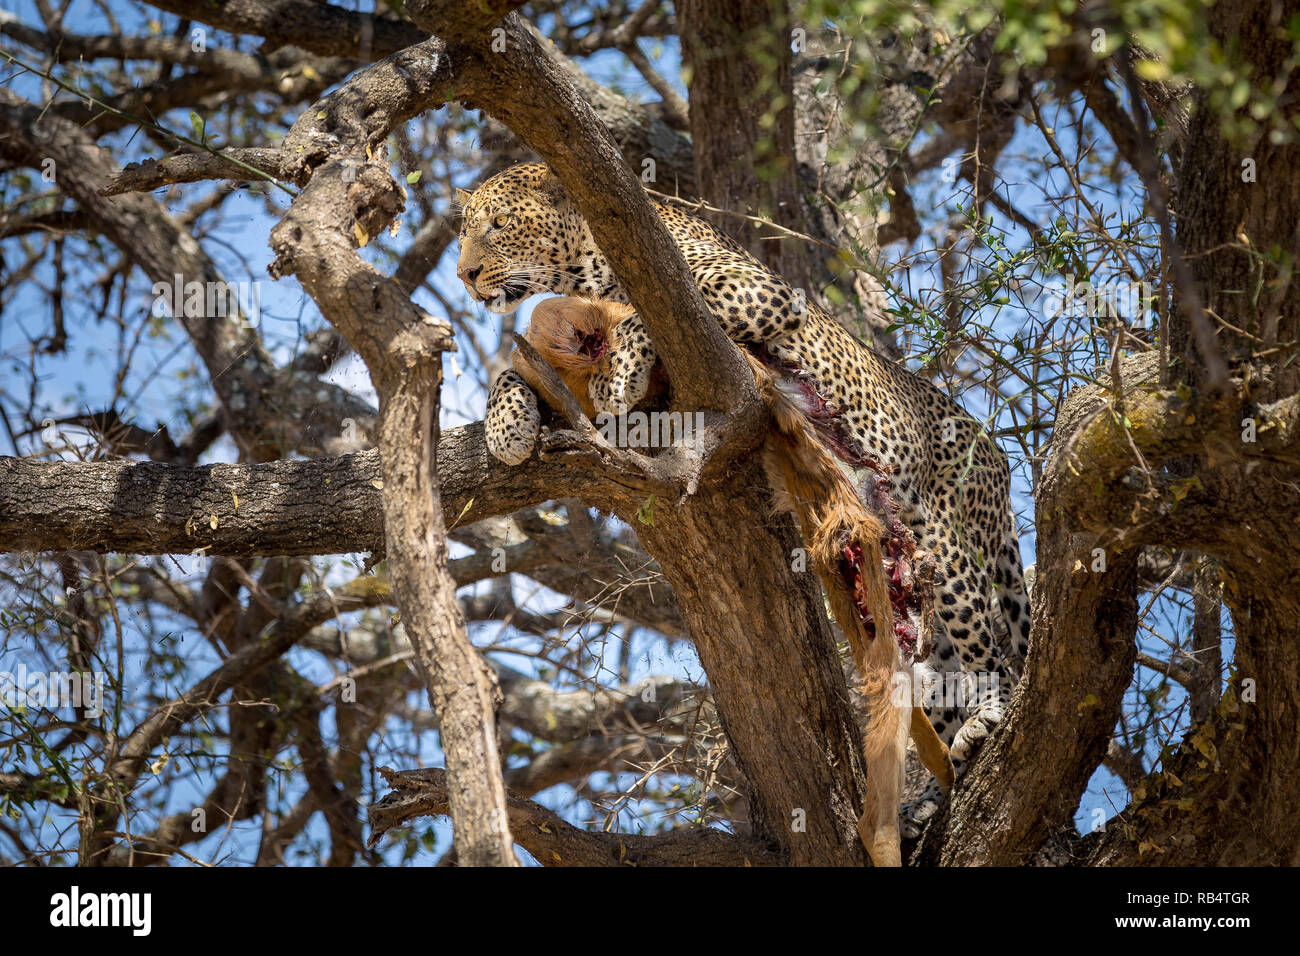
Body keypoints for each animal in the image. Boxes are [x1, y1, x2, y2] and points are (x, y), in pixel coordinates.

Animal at [455, 163, 1032, 832]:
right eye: (466, 233)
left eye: (498, 225)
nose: (465, 274)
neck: (587, 263)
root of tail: (991, 447)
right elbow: (514, 375)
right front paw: (506, 429)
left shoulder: (755, 289)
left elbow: (645, 318)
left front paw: (619, 373)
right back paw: (924, 804)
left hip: (950, 543)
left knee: (992, 649)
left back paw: (988, 717)